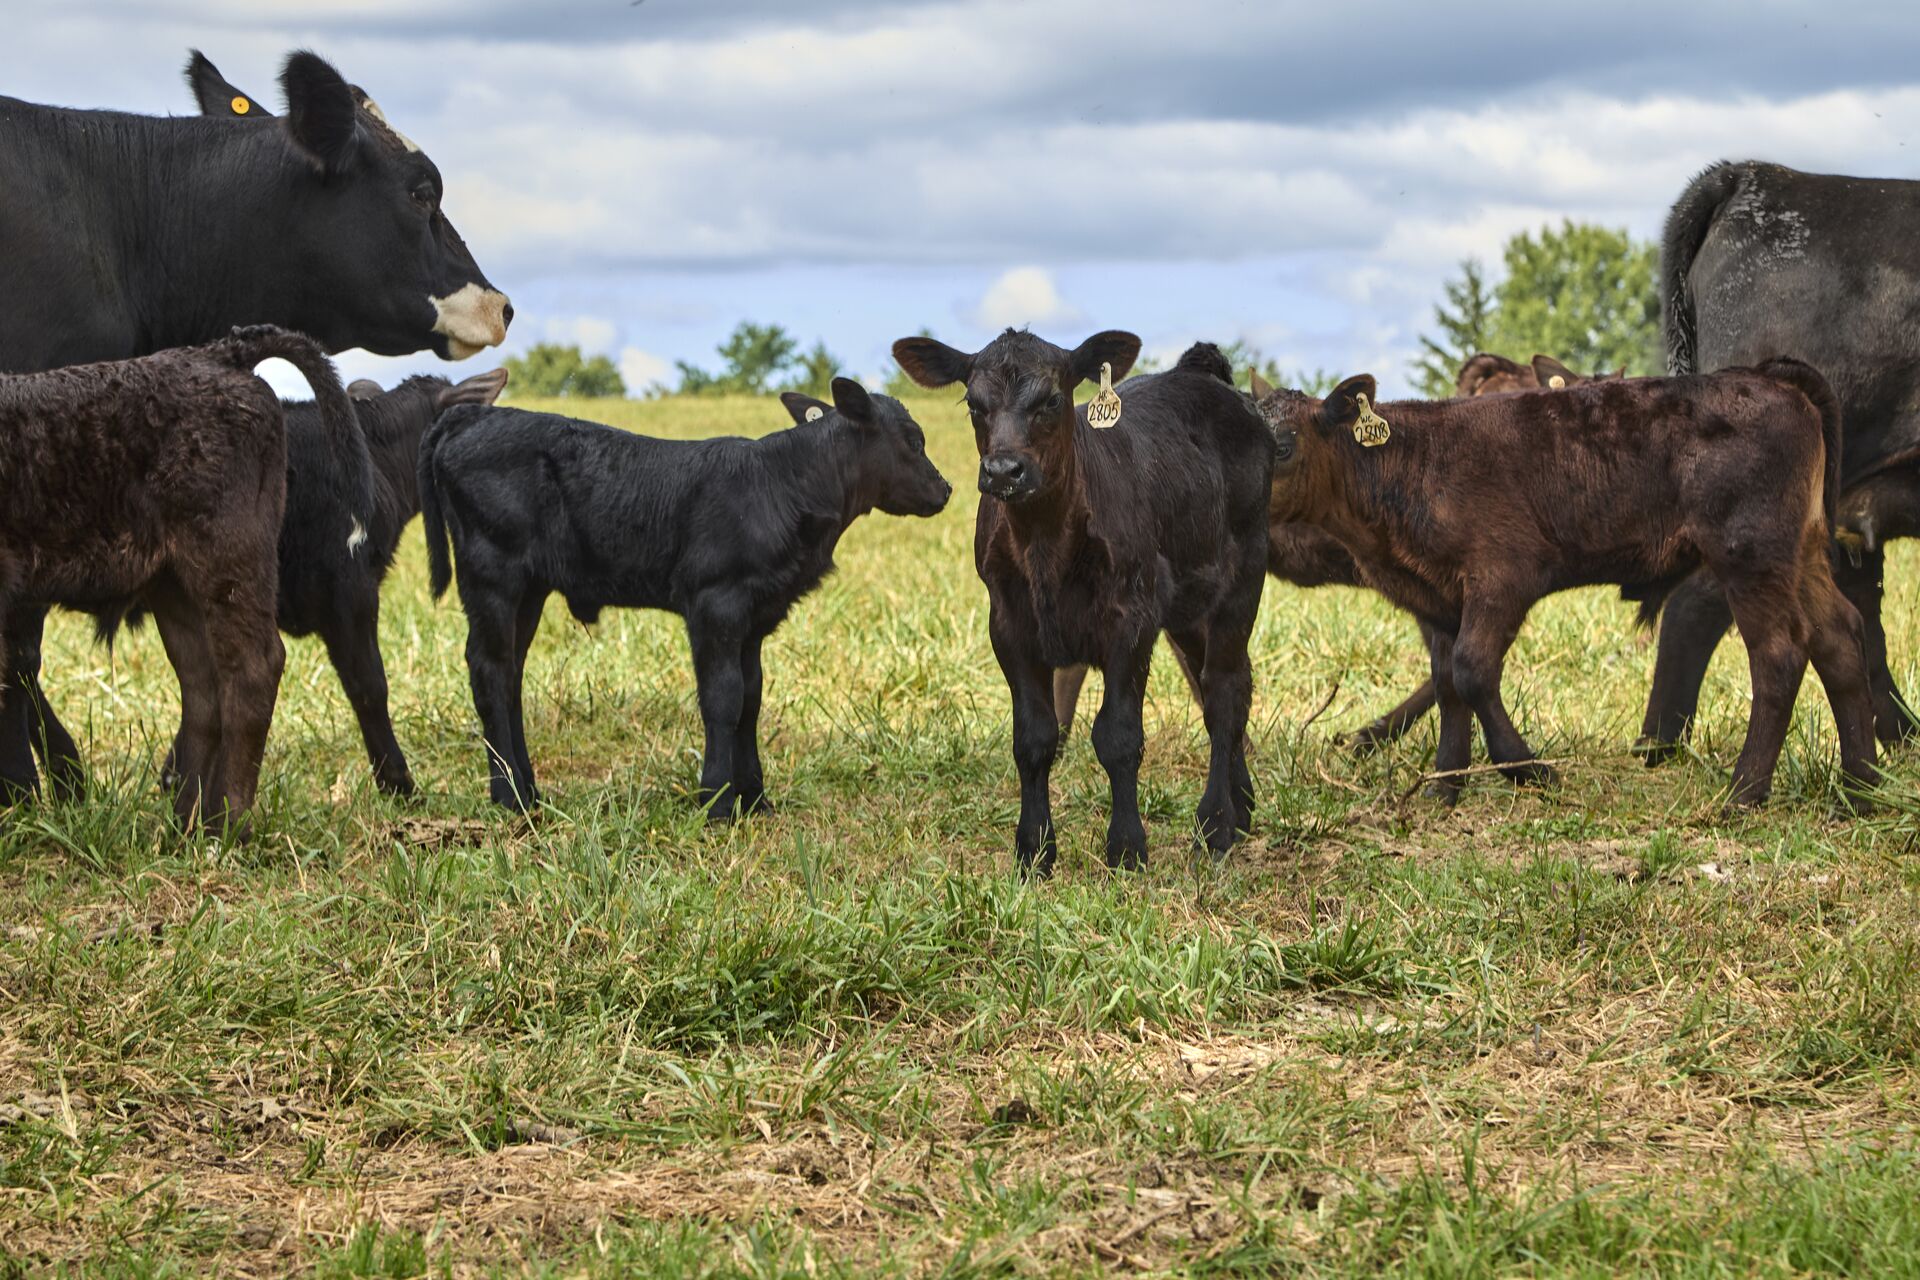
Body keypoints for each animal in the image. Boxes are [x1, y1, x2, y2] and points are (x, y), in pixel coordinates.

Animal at [0, 327, 367, 831]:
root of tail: (222, 353)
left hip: (228, 556)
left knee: (253, 667)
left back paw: (227, 823)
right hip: (174, 584)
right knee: (202, 688)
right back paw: (183, 824)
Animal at [417, 380, 952, 815]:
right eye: (913, 439)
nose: (945, 489)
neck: (784, 484)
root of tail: (474, 415)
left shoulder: (756, 615)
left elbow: (751, 698)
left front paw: (755, 800)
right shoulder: (716, 602)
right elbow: (723, 696)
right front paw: (716, 802)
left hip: (529, 587)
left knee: (510, 673)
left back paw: (528, 790)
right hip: (492, 573)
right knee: (489, 671)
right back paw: (509, 797)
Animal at [891, 334, 1272, 876]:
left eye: (1052, 399)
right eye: (973, 404)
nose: (1004, 471)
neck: (1044, 543)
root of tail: (1200, 372)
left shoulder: (1132, 618)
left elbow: (1118, 736)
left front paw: (1127, 849)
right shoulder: (1007, 625)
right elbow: (1034, 738)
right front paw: (1034, 851)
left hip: (1243, 573)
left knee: (1223, 692)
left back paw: (1215, 825)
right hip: (1187, 603)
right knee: (1222, 683)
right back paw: (1240, 807)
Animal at [1253, 361, 1878, 810]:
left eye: (1282, 445)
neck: (1409, 466)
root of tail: (1769, 376)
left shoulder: (1502, 575)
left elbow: (1472, 670)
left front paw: (1529, 771)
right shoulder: (1436, 597)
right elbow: (1448, 681)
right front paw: (1444, 787)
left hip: (1749, 553)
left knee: (1778, 653)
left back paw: (1744, 793)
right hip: (1800, 552)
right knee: (1840, 639)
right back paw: (1861, 789)